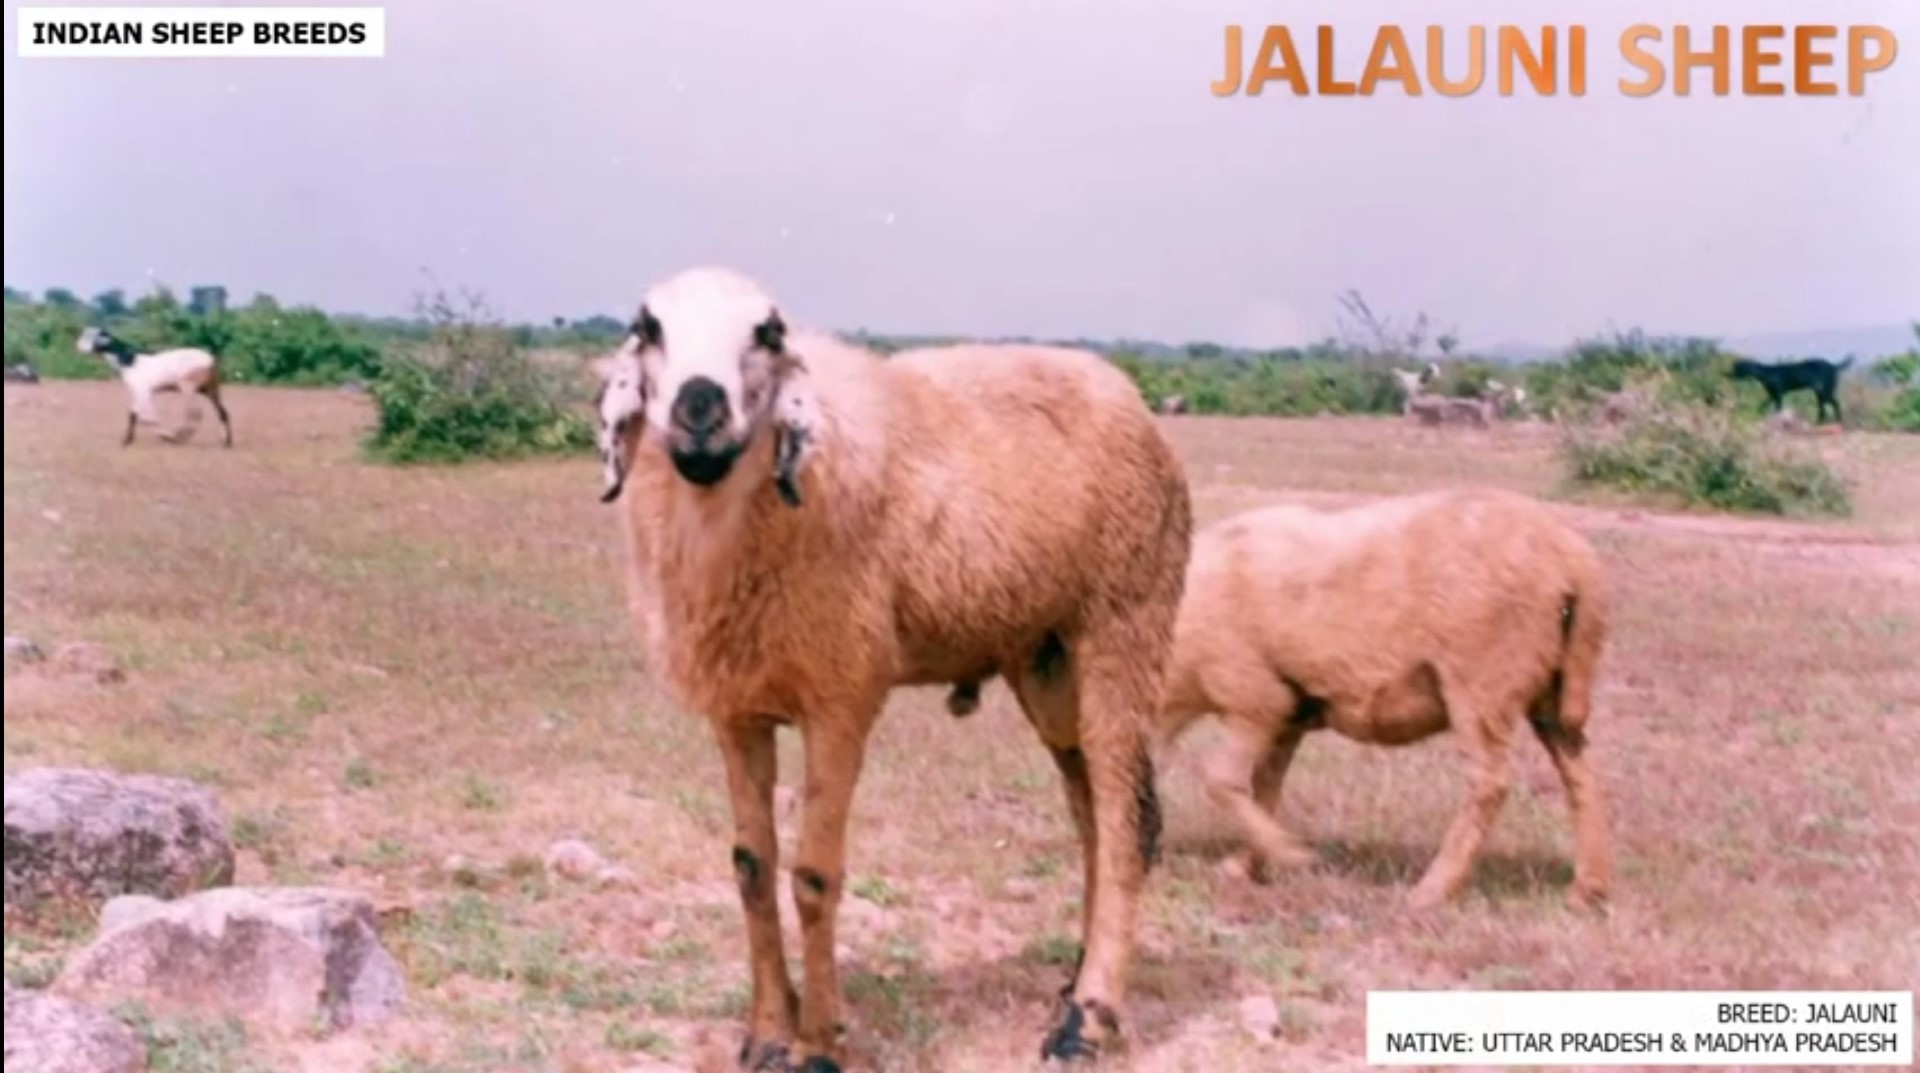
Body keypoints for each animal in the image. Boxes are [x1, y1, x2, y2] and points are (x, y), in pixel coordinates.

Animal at [75, 327, 231, 447]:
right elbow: (133, 414)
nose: (78, 346)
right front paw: (127, 440)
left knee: (195, 413)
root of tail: (210, 360)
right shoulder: (138, 392)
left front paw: (167, 436)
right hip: (209, 388)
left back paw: (180, 436)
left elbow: (147, 417)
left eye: (92, 337)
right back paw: (227, 442)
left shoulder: (143, 390)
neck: (130, 361)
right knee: (222, 412)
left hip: (188, 386)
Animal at [593, 266, 1193, 1070]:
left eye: (768, 333)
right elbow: (752, 866)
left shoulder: (842, 696)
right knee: (1096, 816)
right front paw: (766, 1032)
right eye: (649, 327)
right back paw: (1076, 986)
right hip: (1050, 663)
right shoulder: (737, 708)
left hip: (1124, 626)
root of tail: (1132, 400)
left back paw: (1086, 1022)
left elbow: (813, 874)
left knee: (1128, 826)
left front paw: (819, 1042)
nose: (698, 406)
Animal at [1155, 487, 1613, 911]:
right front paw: (1249, 863)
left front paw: (1293, 855)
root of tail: (1573, 557)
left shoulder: (1254, 695)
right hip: (1550, 684)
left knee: (1490, 782)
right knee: (1579, 769)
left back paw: (1432, 889)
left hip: (1482, 677)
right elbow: (1266, 784)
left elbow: (1221, 780)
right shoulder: (1289, 713)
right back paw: (1587, 889)